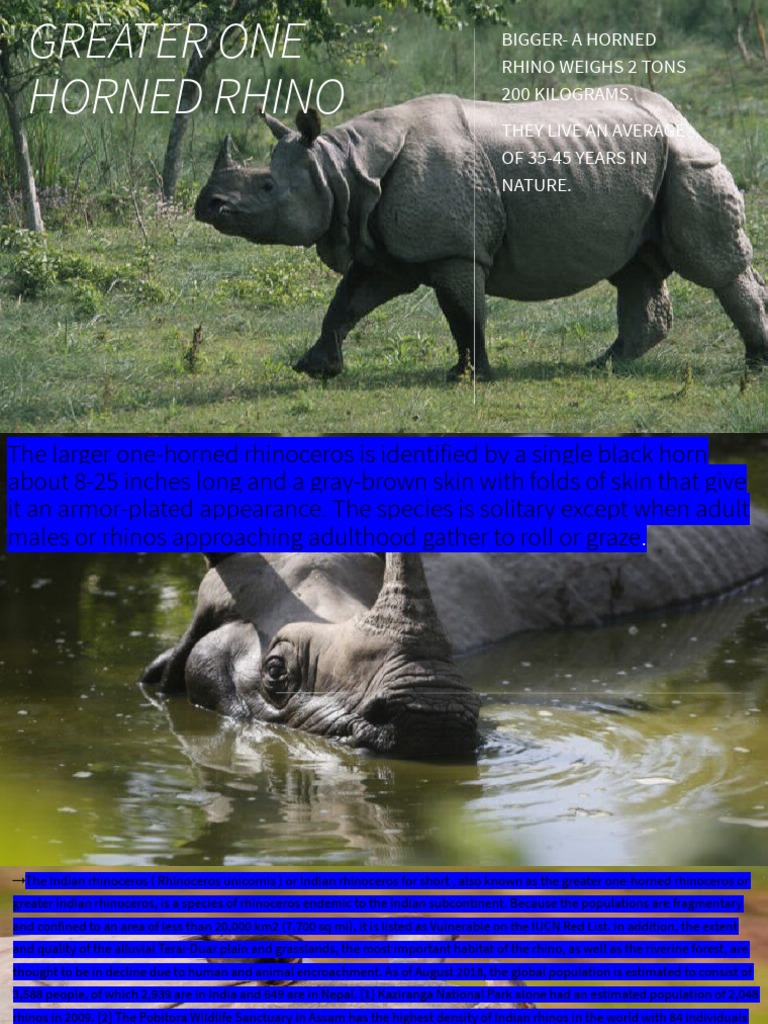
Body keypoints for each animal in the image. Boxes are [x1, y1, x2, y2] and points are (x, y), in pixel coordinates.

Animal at [194, 90, 768, 380]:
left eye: (266, 186)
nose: (207, 205)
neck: (343, 169)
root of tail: (679, 114)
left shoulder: (455, 249)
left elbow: (462, 312)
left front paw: (468, 377)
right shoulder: (384, 245)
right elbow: (347, 301)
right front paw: (315, 369)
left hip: (686, 158)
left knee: (713, 266)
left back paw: (755, 365)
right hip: (643, 163)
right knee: (635, 266)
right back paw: (601, 366)